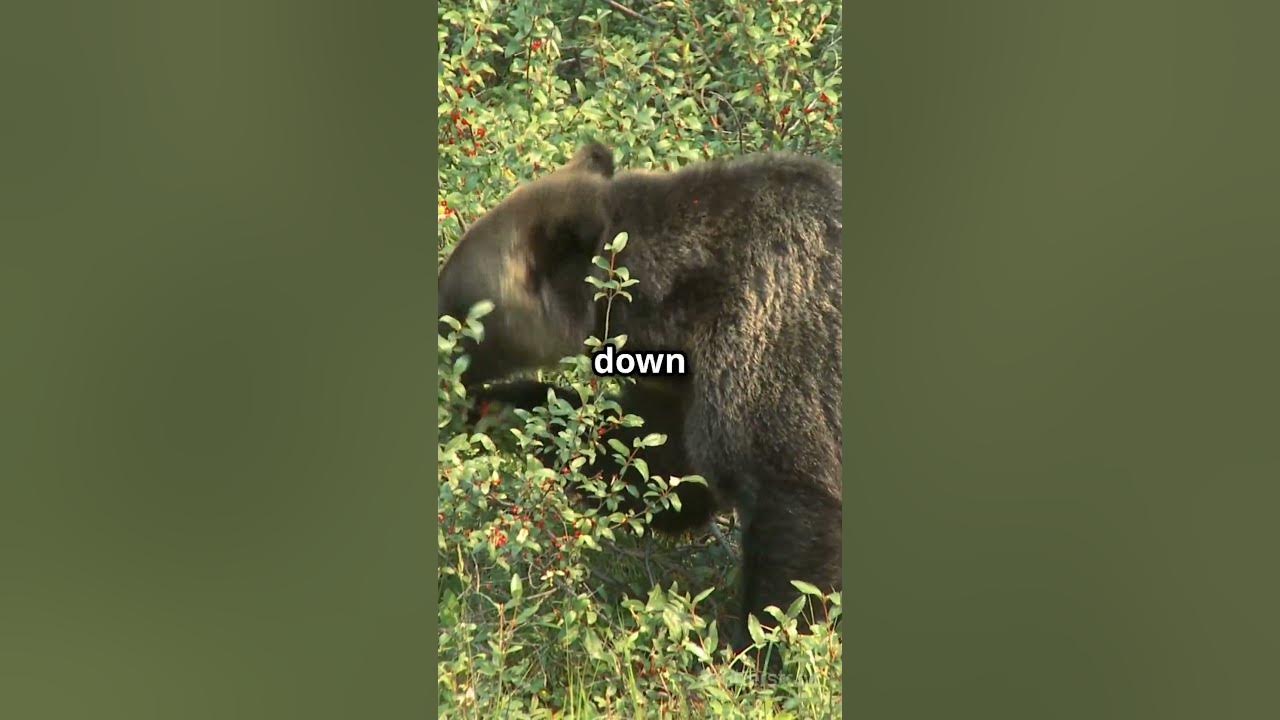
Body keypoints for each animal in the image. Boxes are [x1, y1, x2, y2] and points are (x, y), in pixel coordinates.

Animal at [438, 142, 843, 657]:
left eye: (454, 303)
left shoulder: (768, 344)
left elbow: (792, 509)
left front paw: (758, 649)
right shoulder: (679, 388)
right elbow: (655, 469)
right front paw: (504, 407)